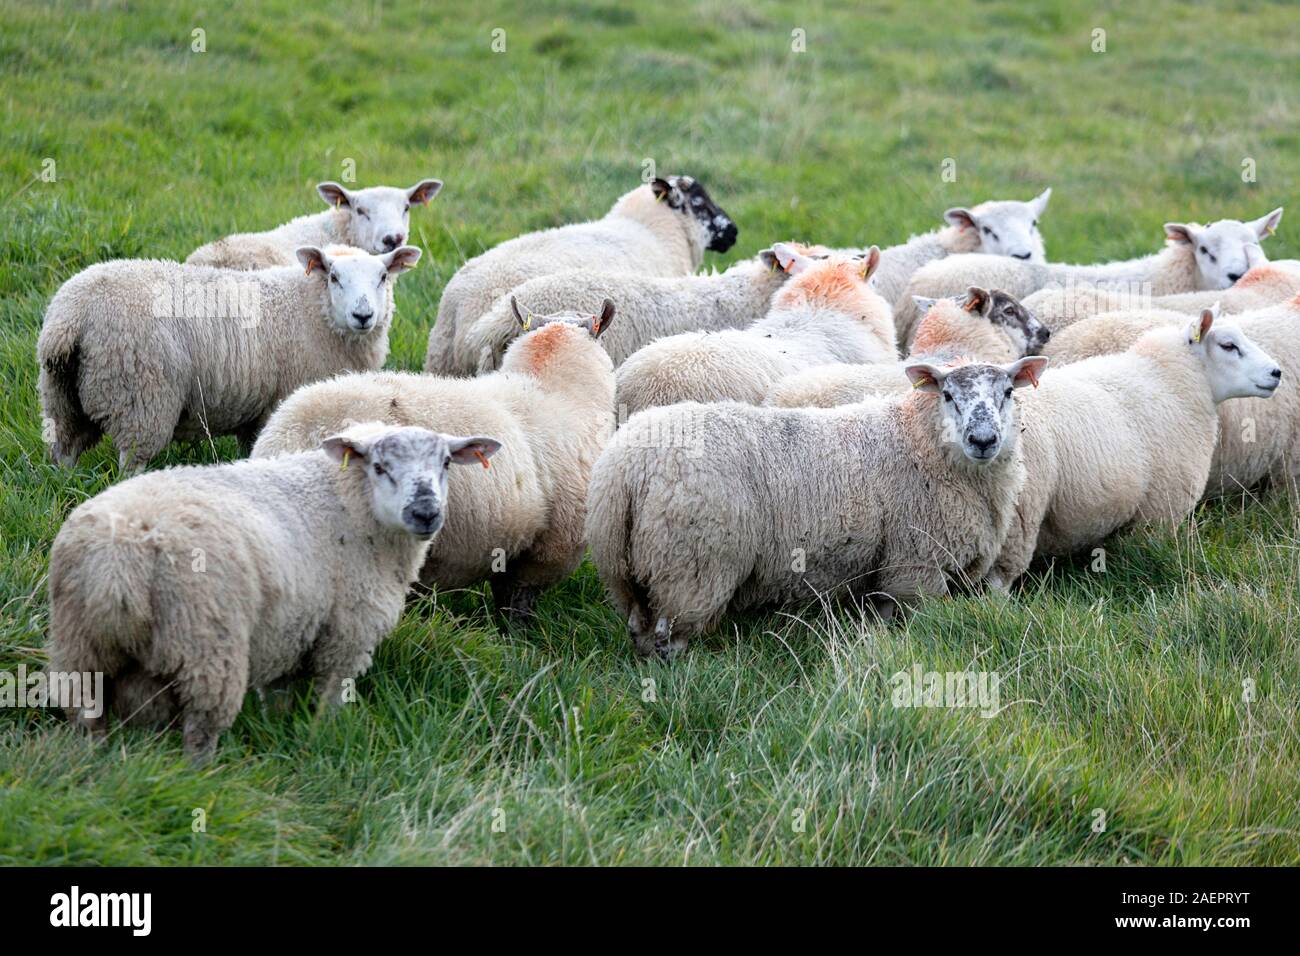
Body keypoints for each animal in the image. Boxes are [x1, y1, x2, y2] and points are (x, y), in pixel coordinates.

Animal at [38, 244, 422, 470]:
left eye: (383, 276)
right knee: (131, 459)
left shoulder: (258, 412)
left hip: (63, 397)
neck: (310, 307)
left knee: (64, 451)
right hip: (140, 396)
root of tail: (70, 317)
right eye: (335, 277)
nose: (363, 316)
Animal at [46, 422, 501, 762]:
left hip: (80, 650)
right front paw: (322, 737)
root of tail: (116, 563)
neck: (351, 502)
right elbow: (329, 699)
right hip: (207, 645)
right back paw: (200, 777)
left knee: (87, 718)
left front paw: (278, 735)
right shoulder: (347, 633)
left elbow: (277, 698)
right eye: (379, 466)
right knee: (200, 730)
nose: (426, 512)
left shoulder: (288, 629)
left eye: (446, 463)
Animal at [586, 356, 1046, 657]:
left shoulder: (889, 566)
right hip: (691, 563)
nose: (984, 440)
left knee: (639, 627)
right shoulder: (917, 566)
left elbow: (882, 618)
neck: (920, 441)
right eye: (948, 395)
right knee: (671, 633)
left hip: (626, 568)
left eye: (1008, 392)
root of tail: (627, 468)